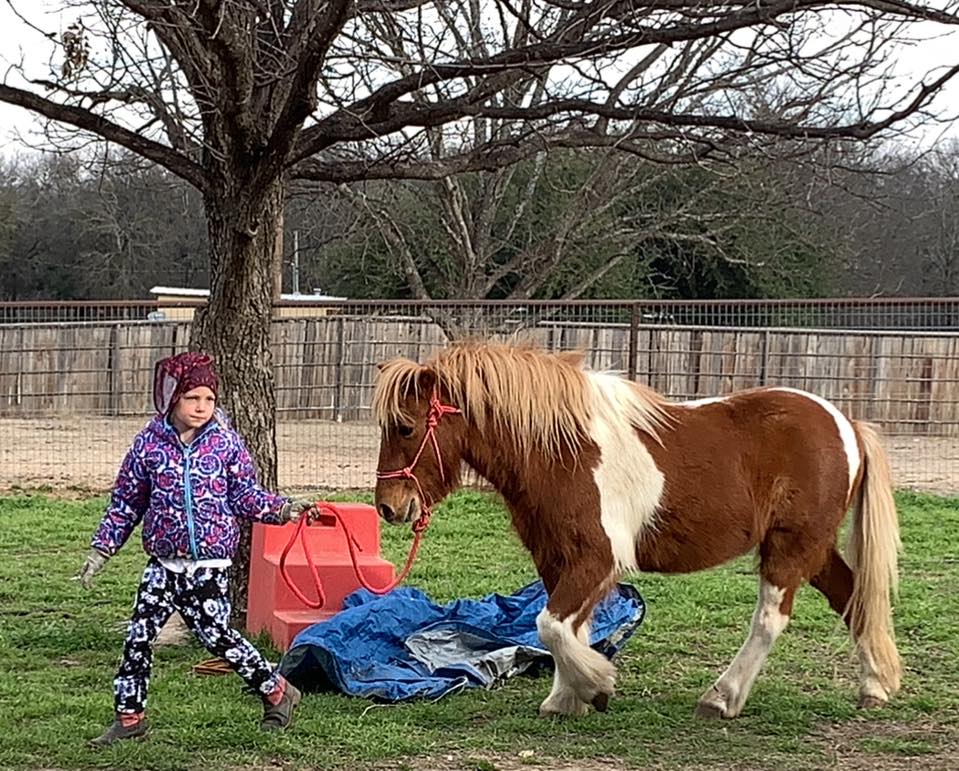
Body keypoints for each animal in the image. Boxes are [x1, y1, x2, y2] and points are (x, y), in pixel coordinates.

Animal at [372, 341, 901, 719]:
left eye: (405, 427)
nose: (388, 507)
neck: (562, 451)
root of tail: (846, 424)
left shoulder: (597, 558)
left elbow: (550, 625)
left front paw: (595, 686)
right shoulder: (557, 558)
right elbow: (569, 628)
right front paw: (568, 699)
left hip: (790, 547)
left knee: (770, 620)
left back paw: (721, 698)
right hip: (814, 548)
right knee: (852, 597)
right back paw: (874, 686)